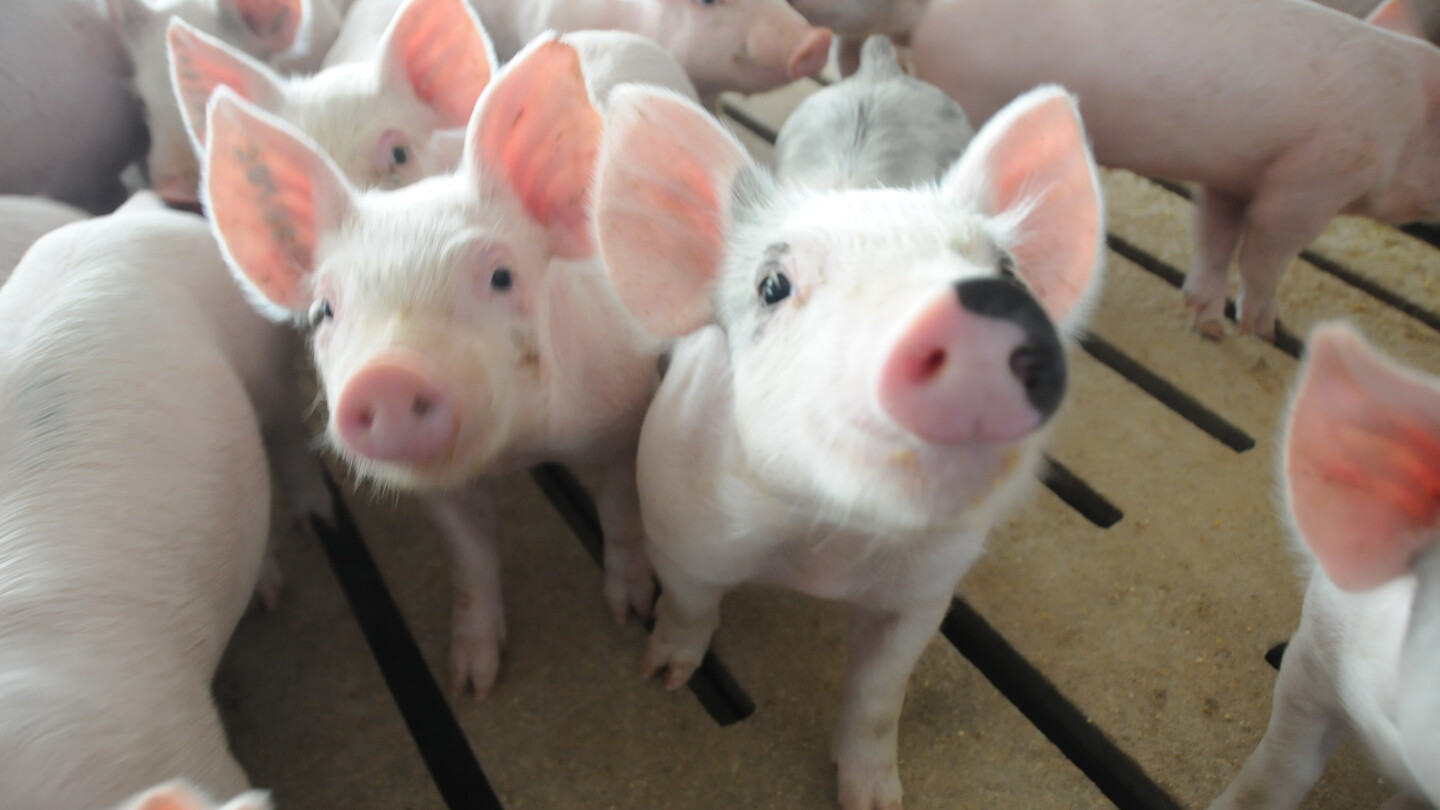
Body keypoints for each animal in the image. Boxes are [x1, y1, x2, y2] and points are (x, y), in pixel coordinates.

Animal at [199, 37, 666, 698]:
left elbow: (621, 508)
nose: (389, 376)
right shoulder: (442, 491)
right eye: (325, 309)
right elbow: (472, 558)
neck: (520, 449)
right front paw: (472, 683)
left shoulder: (626, 410)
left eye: (502, 276)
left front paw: (631, 610)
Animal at [591, 75, 1105, 807]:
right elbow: (691, 610)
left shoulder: (926, 590)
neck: (825, 549)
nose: (969, 314)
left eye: (1008, 273)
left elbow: (879, 694)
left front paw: (877, 798)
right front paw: (663, 677)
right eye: (772, 285)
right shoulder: (680, 531)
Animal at [913, 0, 1440, 342]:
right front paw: (1262, 330)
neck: (1402, 125)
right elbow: (1265, 252)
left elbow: (1215, 235)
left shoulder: (1232, 176)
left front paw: (1208, 322)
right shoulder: (1313, 179)